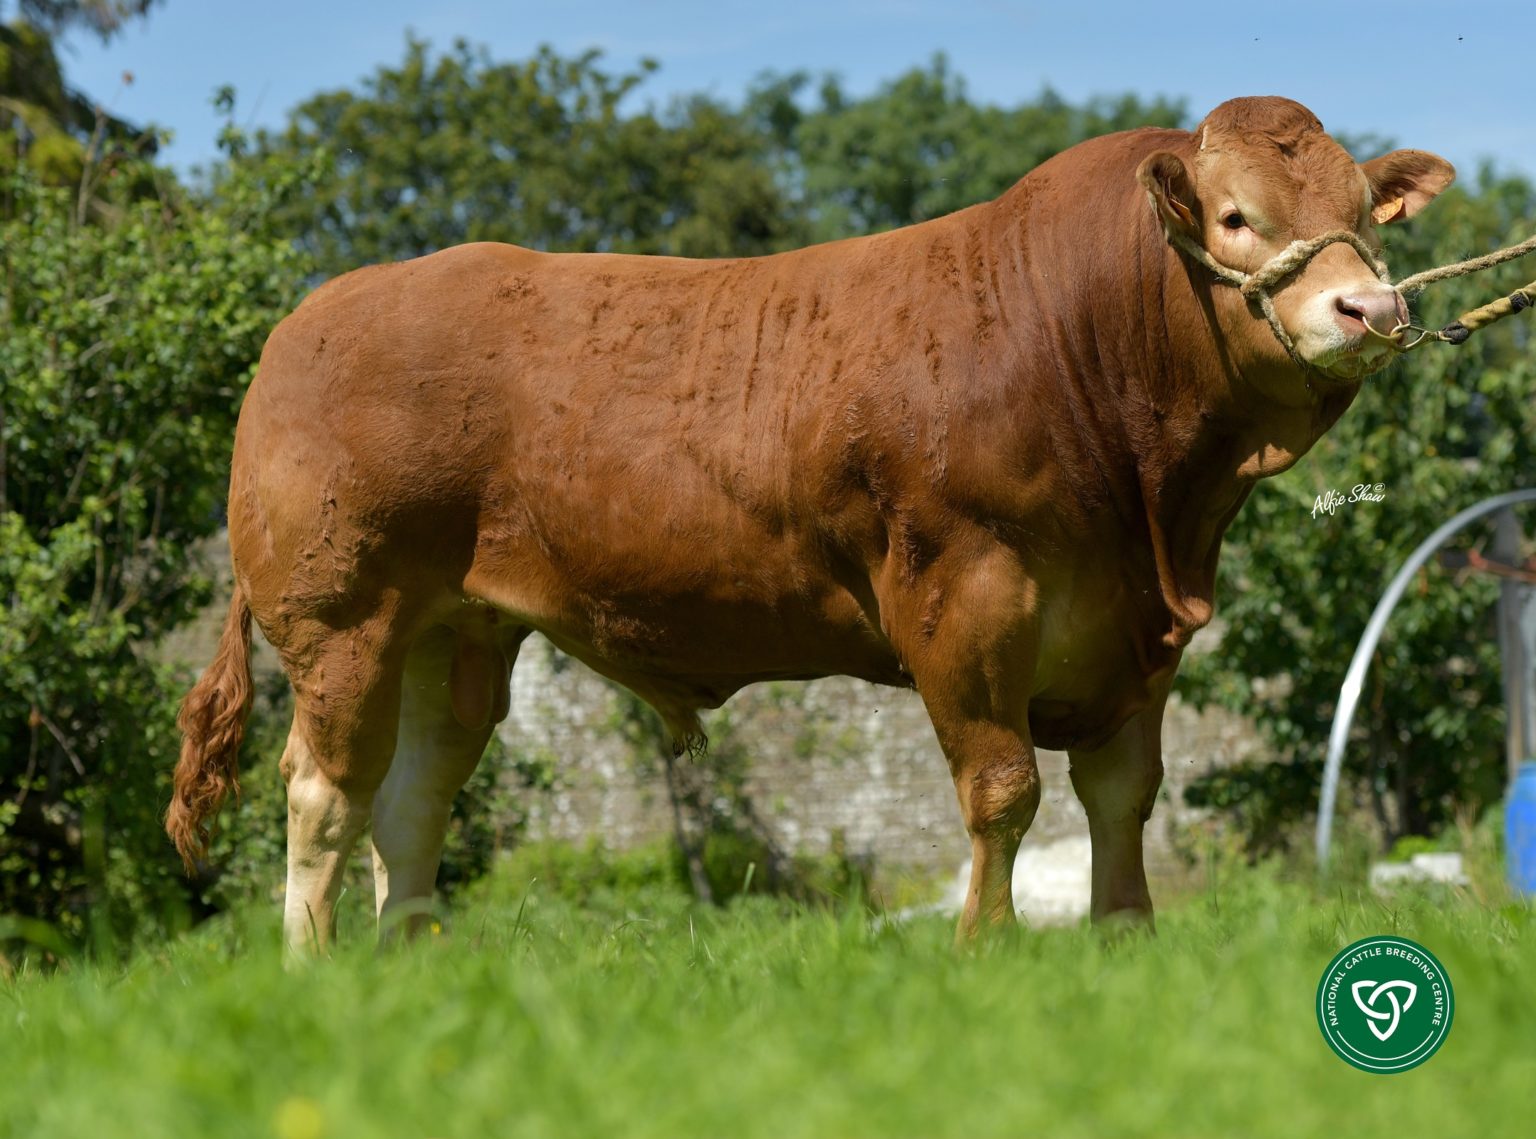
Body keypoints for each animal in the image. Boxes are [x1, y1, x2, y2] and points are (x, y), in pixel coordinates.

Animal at [168, 96, 1454, 952]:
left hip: (455, 629)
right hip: (343, 614)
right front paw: (985, 948)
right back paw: (317, 968)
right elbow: (1004, 790)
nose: (1371, 307)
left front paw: (1124, 941)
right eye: (1236, 217)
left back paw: (411, 968)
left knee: (412, 793)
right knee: (323, 791)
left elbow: (1122, 795)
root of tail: (319, 311)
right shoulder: (962, 594)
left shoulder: (1137, 629)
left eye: (1366, 215)